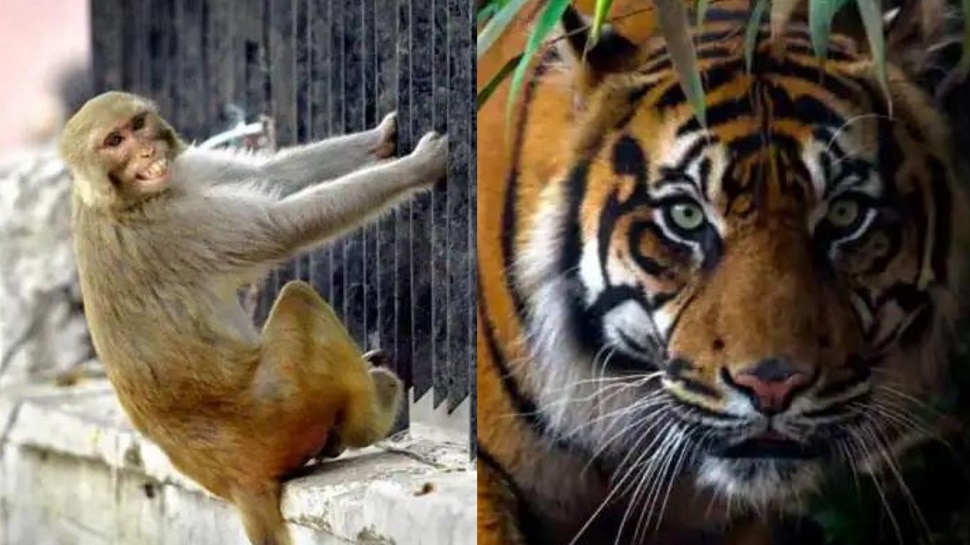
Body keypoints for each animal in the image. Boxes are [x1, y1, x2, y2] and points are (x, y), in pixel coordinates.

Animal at [58, 91, 448, 545]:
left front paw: (381, 137)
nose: (146, 152)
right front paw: (417, 167)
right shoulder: (178, 226)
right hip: (284, 411)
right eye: (114, 141)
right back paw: (371, 419)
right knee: (298, 304)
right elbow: (282, 225)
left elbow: (272, 174)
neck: (120, 199)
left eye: (138, 125)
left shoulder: (181, 177)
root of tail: (236, 480)